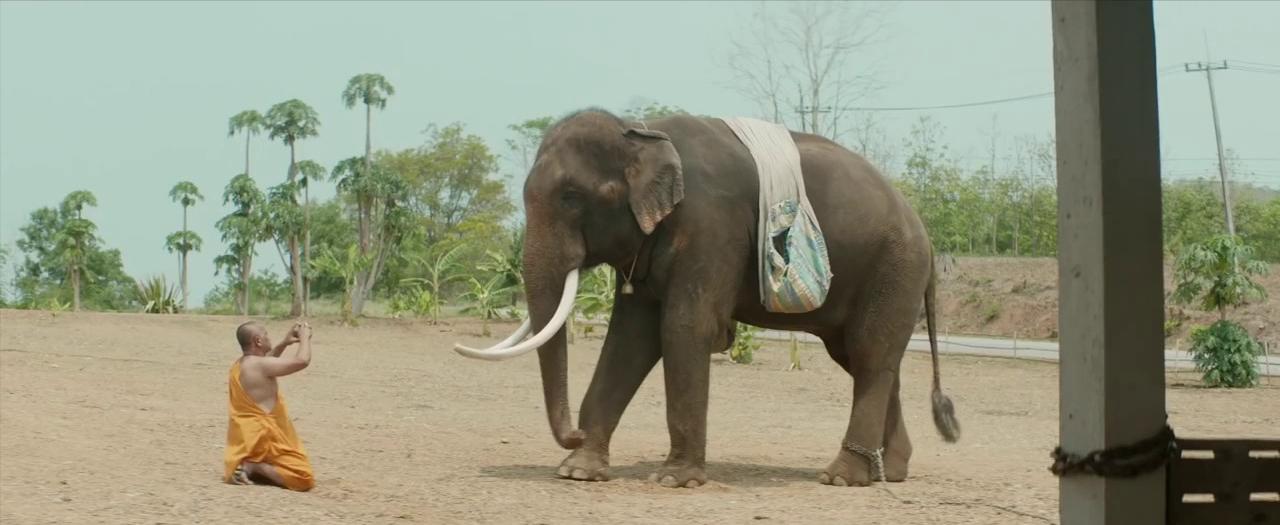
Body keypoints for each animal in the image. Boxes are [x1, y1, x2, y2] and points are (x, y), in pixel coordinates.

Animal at [455, 108, 960, 488]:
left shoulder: (711, 223)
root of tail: (926, 232)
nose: (574, 434)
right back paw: (889, 472)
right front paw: (579, 472)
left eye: (572, 197)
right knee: (865, 359)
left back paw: (841, 477)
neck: (640, 130)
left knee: (871, 357)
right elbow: (629, 339)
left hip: (894, 267)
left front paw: (673, 480)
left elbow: (683, 326)